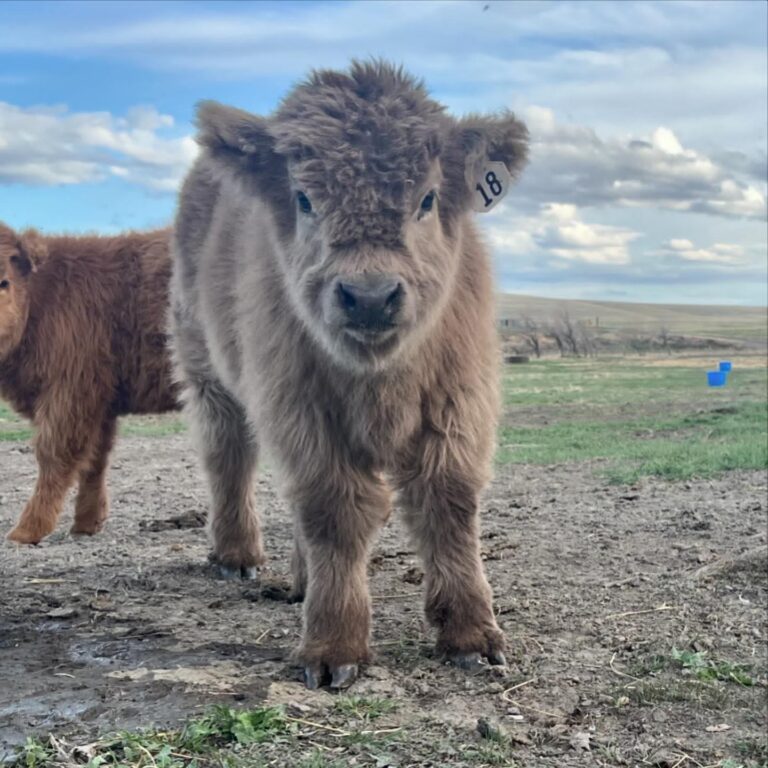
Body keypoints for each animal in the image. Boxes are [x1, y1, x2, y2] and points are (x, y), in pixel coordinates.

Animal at [0, 224, 179, 544]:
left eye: (4, 281)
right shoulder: (99, 401)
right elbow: (95, 460)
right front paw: (87, 522)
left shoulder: (70, 391)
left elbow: (54, 454)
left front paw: (28, 529)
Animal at [169, 61, 528, 689]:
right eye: (304, 198)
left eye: (427, 198)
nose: (370, 297)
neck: (381, 379)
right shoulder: (297, 406)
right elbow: (335, 509)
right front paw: (334, 647)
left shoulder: (459, 400)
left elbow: (448, 501)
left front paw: (471, 636)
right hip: (206, 370)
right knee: (228, 455)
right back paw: (237, 558)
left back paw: (299, 581)